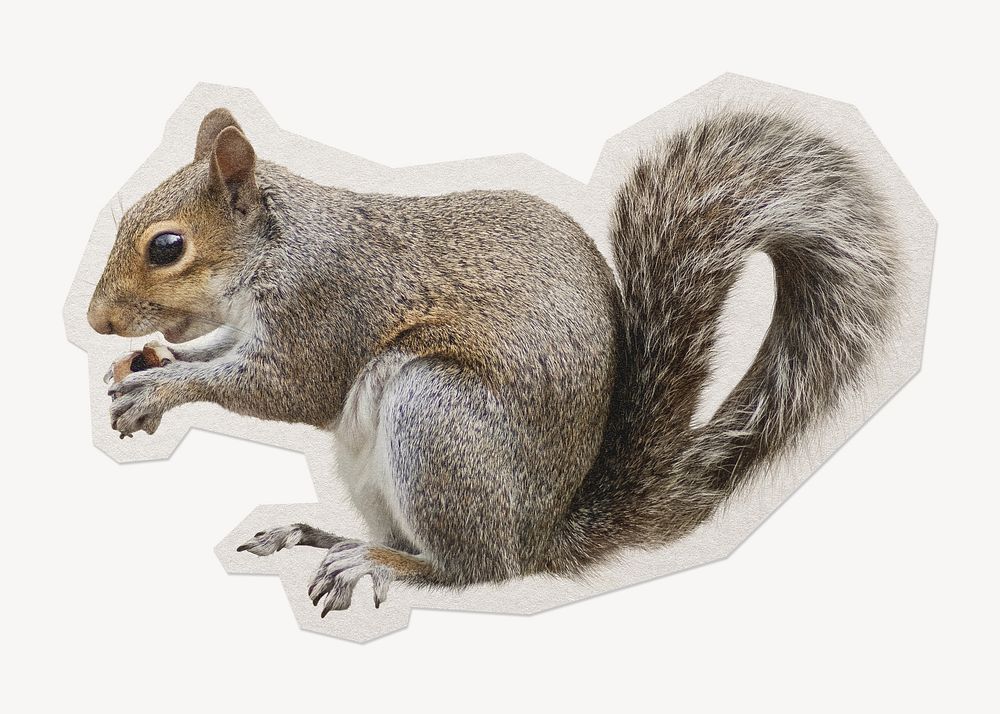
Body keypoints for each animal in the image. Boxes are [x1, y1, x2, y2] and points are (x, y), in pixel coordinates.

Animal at [88, 107, 898, 614]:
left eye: (167, 246)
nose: (96, 321)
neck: (277, 247)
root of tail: (541, 534)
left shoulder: (326, 308)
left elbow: (283, 388)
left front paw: (161, 388)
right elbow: (218, 350)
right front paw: (148, 360)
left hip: (435, 415)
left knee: (472, 570)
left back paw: (380, 562)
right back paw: (325, 537)